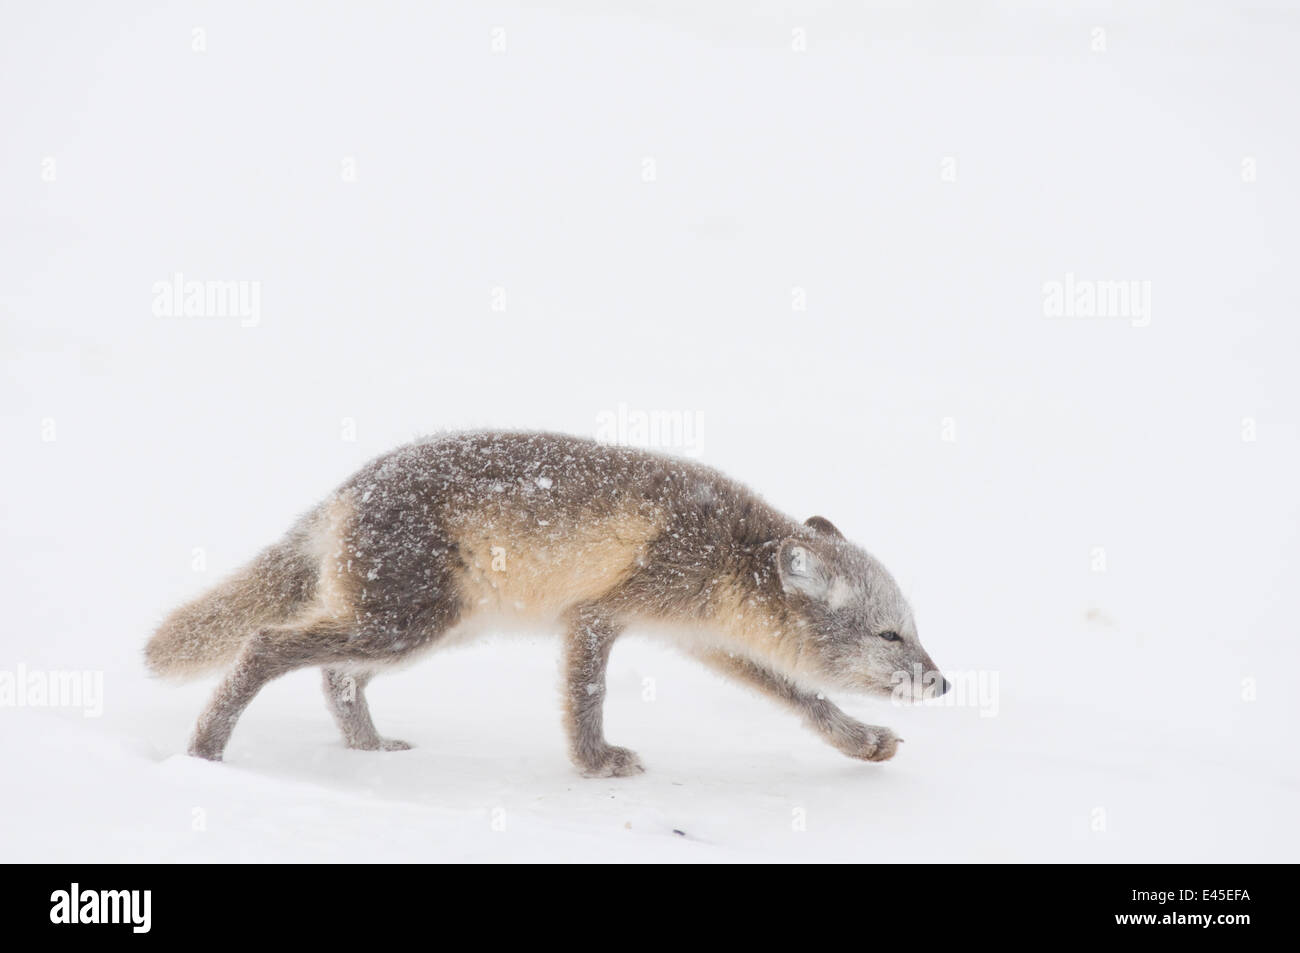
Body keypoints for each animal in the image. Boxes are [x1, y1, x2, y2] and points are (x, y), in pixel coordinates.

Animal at [146, 430, 949, 776]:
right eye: (890, 635)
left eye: (914, 631)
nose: (942, 682)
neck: (729, 551)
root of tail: (341, 493)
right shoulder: (598, 615)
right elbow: (586, 698)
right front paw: (595, 763)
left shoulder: (704, 638)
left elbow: (805, 699)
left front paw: (862, 742)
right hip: (406, 627)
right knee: (264, 645)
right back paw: (206, 754)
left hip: (414, 631)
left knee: (334, 675)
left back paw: (368, 750)